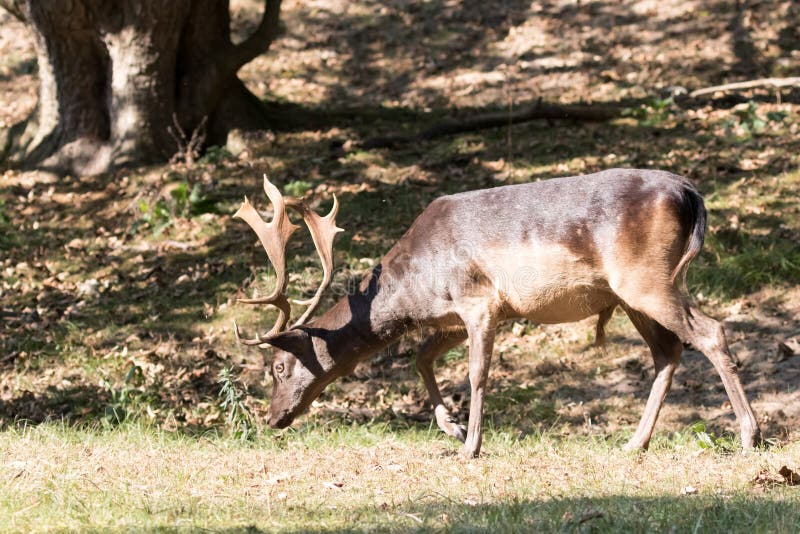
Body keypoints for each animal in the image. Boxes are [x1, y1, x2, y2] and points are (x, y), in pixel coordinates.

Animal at [232, 170, 761, 458]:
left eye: (277, 367)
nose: (272, 418)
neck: (412, 287)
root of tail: (689, 192)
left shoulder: (479, 301)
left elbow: (477, 373)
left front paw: (470, 445)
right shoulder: (452, 316)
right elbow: (420, 358)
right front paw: (450, 427)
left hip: (648, 278)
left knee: (711, 332)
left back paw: (750, 435)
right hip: (633, 293)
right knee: (667, 351)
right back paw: (635, 442)